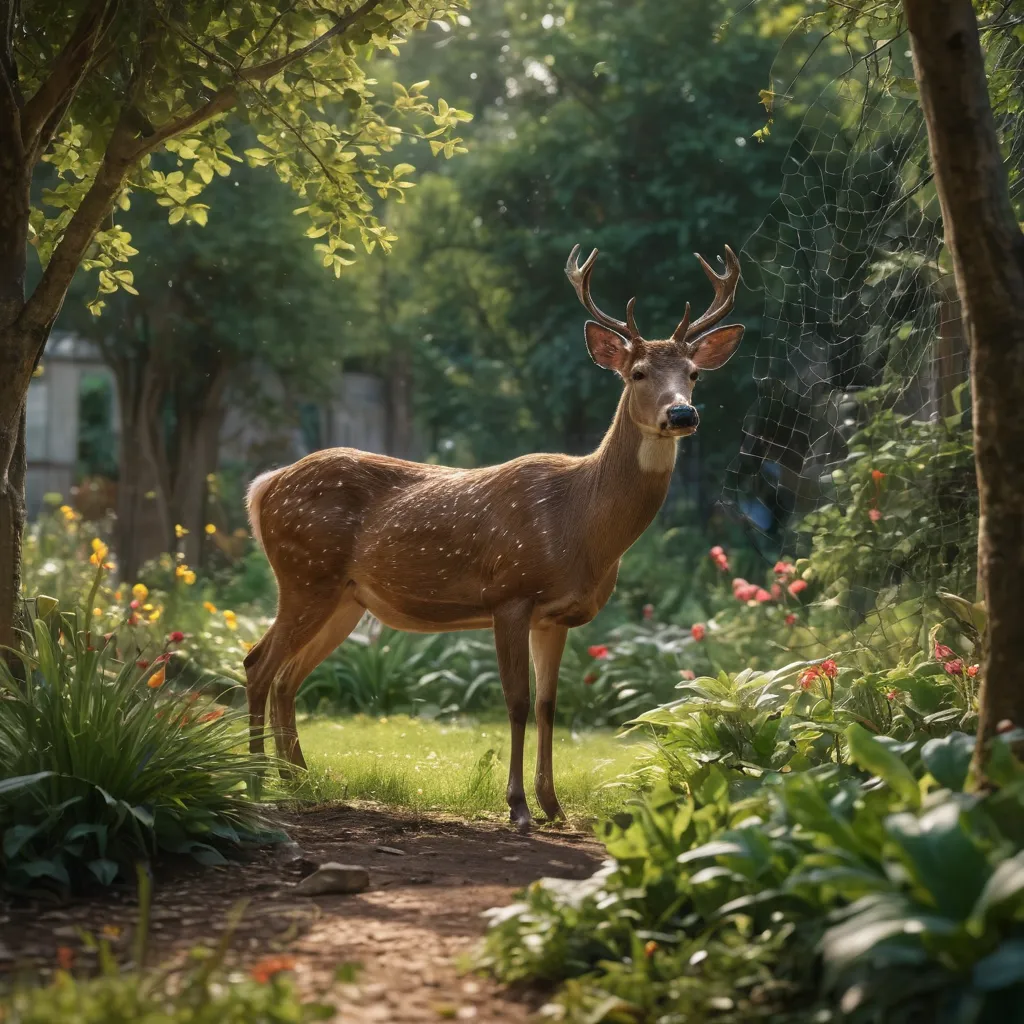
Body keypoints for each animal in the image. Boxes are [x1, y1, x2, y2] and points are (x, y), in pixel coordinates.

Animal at [243, 244, 743, 831]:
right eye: (638, 372)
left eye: (694, 374)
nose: (682, 413)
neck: (579, 524)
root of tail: (265, 486)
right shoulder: (510, 592)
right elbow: (517, 701)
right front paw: (518, 807)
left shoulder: (556, 615)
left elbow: (550, 704)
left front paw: (553, 805)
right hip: (304, 574)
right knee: (258, 664)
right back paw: (255, 782)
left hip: (344, 596)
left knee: (287, 676)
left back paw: (300, 780)